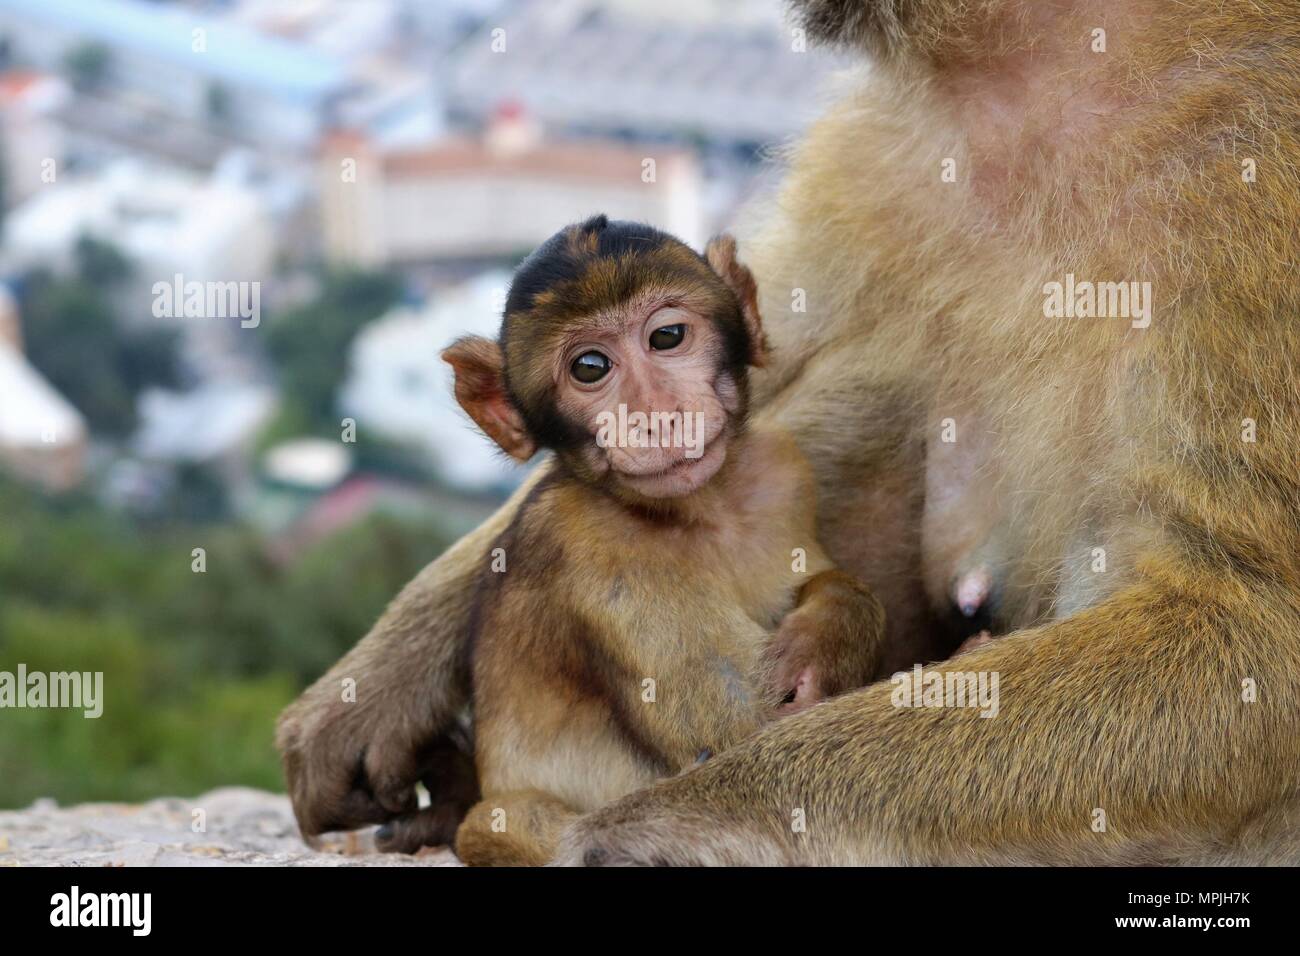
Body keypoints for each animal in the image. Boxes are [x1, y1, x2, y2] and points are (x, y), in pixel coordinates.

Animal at [439, 216, 885, 866]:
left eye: (667, 336)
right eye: (590, 368)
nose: (657, 415)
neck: (701, 512)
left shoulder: (781, 472)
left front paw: (832, 628)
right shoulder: (594, 549)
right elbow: (744, 744)